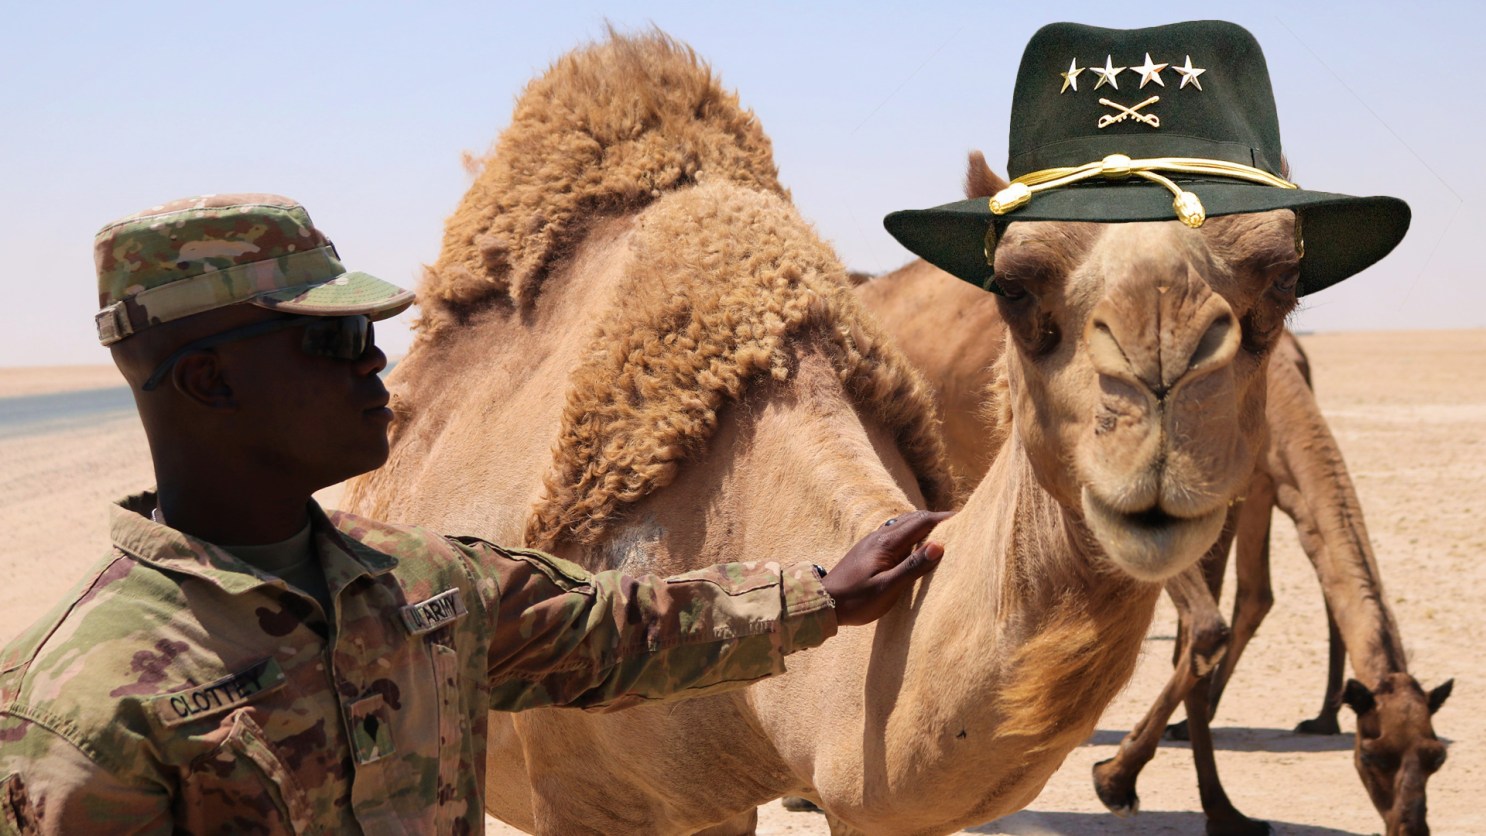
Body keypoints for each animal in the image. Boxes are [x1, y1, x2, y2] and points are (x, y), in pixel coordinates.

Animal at [855, 154, 1452, 835]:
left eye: (1434, 757)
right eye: (1374, 756)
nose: (1411, 826)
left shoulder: (1246, 496)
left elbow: (1239, 608)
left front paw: (1220, 805)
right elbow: (1209, 623)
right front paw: (1118, 777)